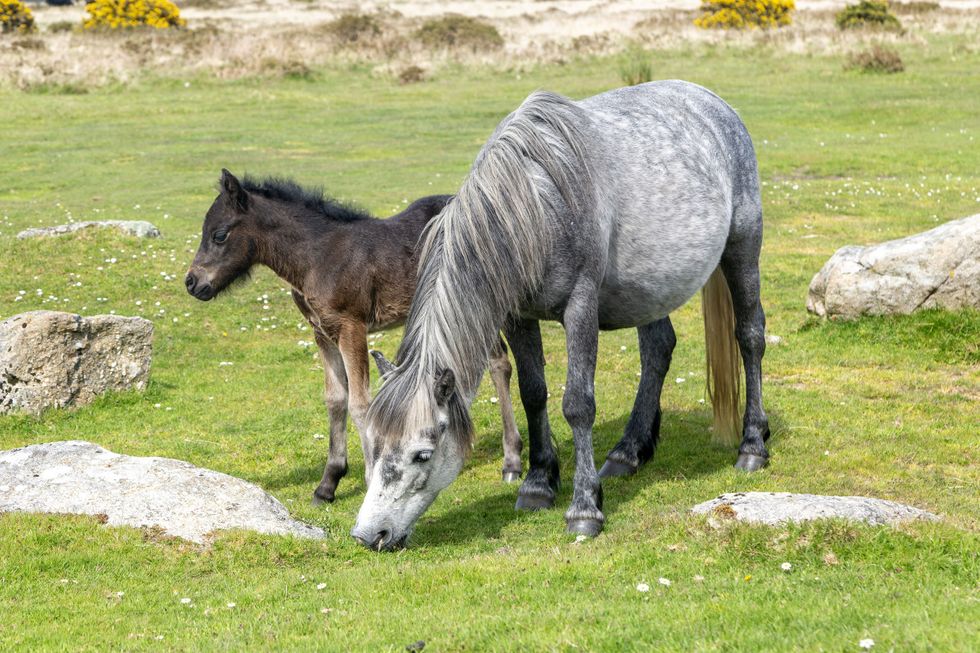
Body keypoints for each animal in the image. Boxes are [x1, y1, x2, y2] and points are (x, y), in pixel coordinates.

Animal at [184, 170, 524, 504]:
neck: (317, 257)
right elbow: (335, 399)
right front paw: (328, 483)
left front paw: (372, 476)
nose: (192, 282)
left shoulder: (352, 327)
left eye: (219, 234)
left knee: (499, 363)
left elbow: (361, 404)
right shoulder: (322, 331)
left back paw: (512, 462)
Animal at [352, 80, 770, 550]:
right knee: (658, 351)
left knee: (750, 336)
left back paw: (752, 446)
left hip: (743, 248)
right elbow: (533, 393)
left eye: (422, 454)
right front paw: (537, 484)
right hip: (650, 290)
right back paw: (627, 453)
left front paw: (584, 508)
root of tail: (712, 101)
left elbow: (578, 405)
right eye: (372, 443)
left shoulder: (581, 308)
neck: (534, 204)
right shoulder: (518, 317)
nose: (369, 534)